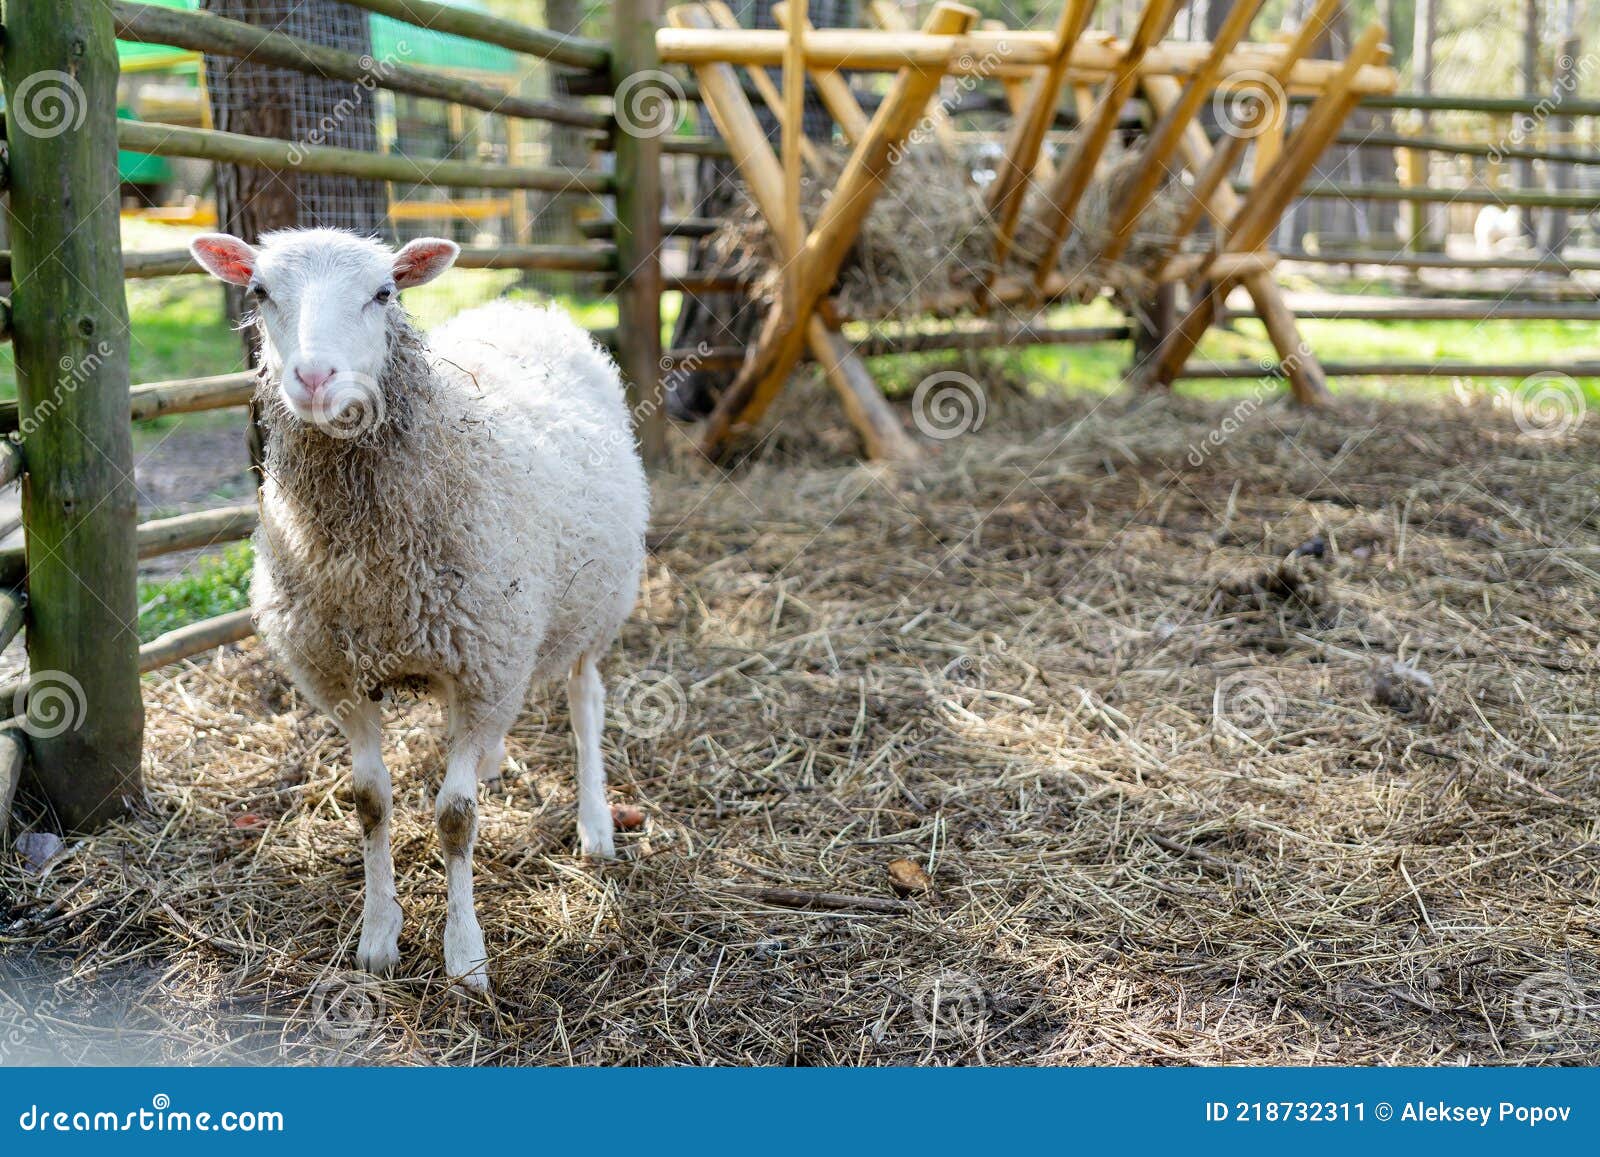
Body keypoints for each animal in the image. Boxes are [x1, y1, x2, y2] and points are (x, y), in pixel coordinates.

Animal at [190, 228, 650, 992]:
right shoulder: (341, 675)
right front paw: (378, 937)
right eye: (260, 291)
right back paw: (493, 760)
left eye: (384, 293)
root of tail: (525, 307)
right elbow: (370, 802)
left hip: (591, 602)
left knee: (585, 699)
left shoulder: (486, 662)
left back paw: (595, 825)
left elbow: (456, 818)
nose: (313, 378)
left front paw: (466, 956)